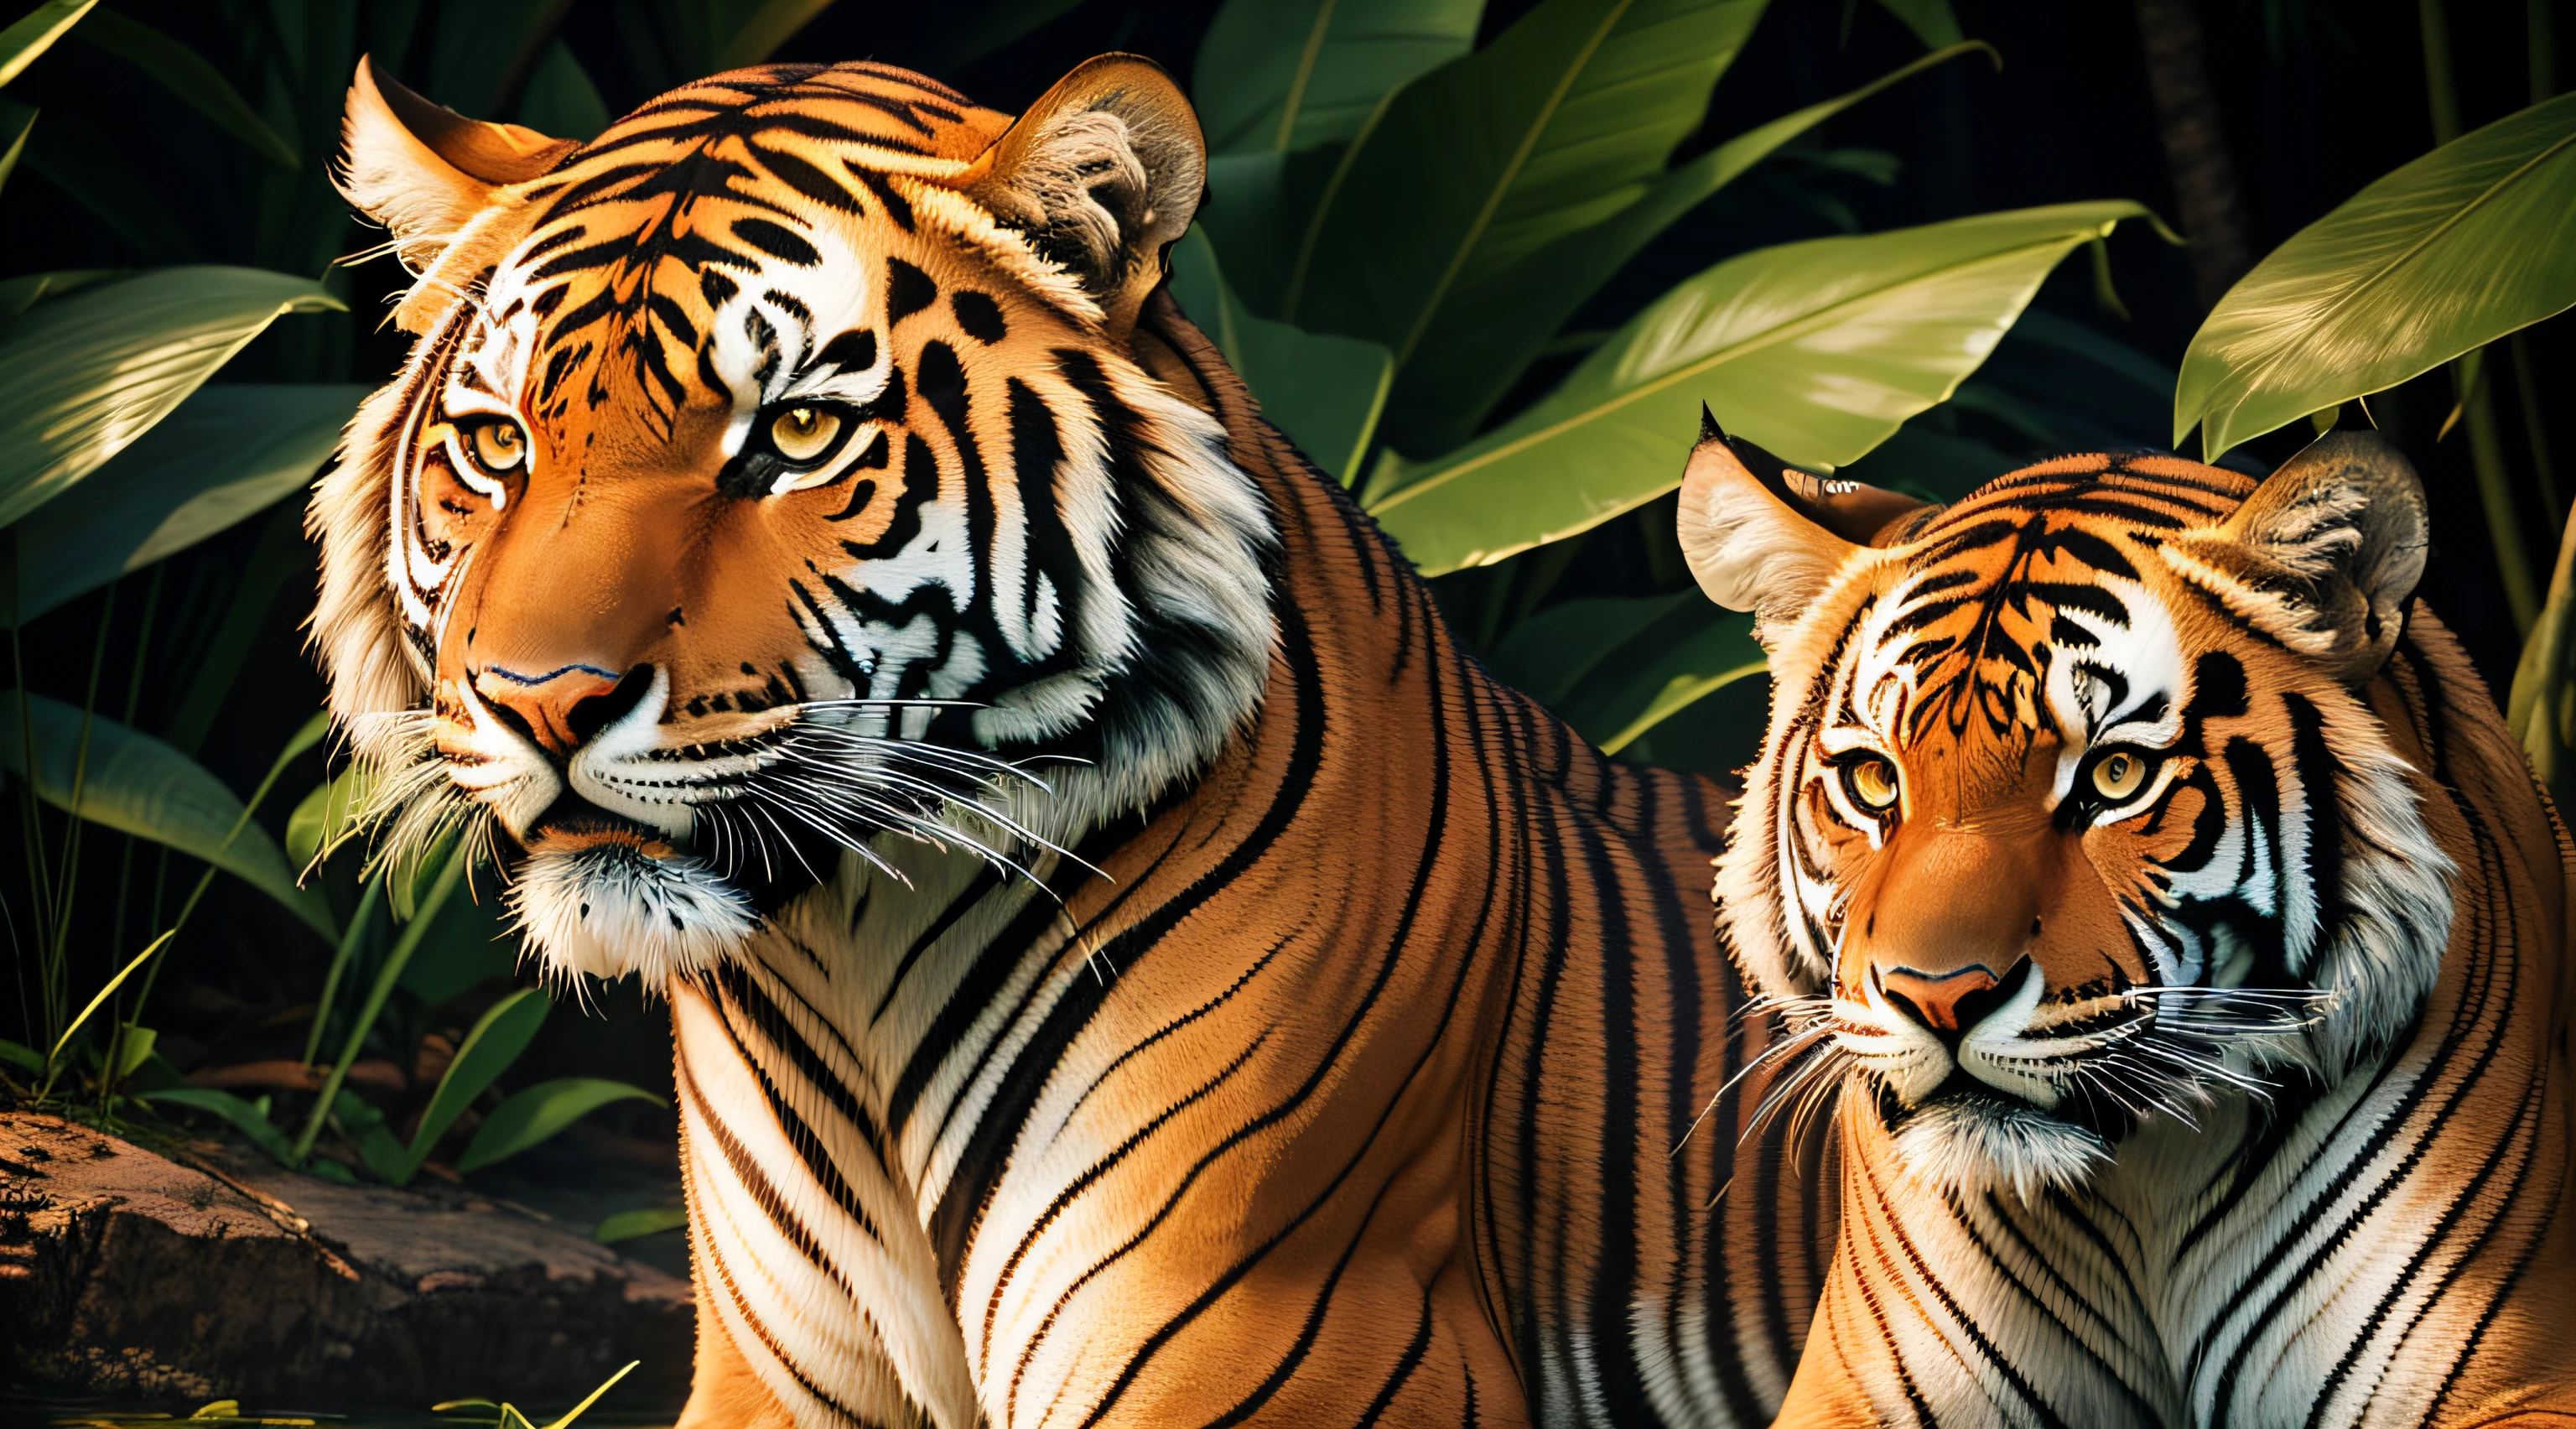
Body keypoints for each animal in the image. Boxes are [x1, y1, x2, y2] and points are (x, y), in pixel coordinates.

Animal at [315, 53, 1837, 1429]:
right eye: (497, 446)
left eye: (794, 434)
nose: (539, 701)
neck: (843, 957)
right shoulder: (771, 1375)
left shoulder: (1287, 1349)